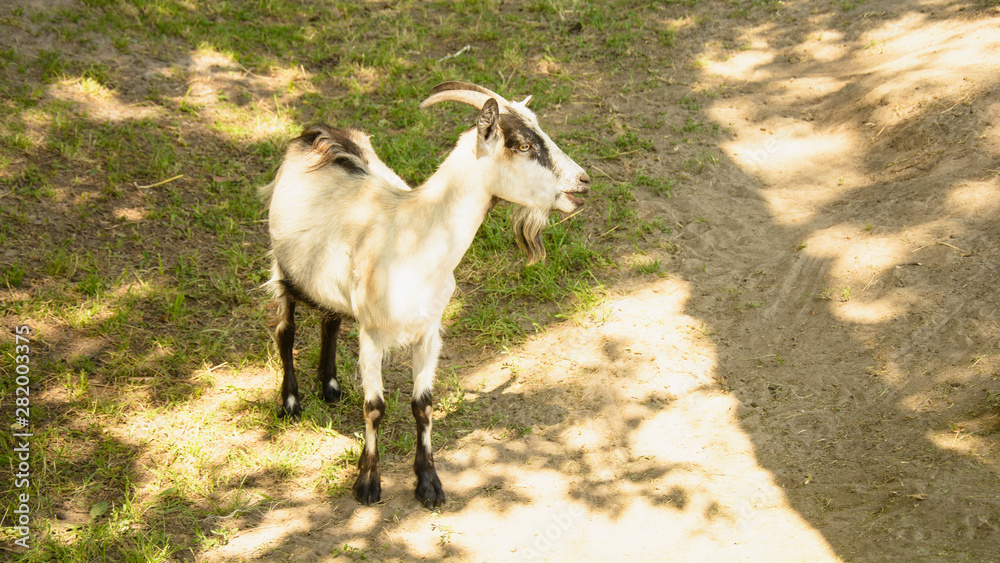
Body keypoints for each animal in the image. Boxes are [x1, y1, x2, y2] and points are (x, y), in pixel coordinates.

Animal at [260, 81, 590, 508]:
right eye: (522, 145)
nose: (583, 181)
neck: (413, 236)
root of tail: (316, 133)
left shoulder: (429, 331)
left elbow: (423, 406)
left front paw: (429, 483)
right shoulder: (372, 334)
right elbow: (375, 408)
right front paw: (367, 484)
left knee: (329, 319)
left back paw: (330, 388)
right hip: (283, 269)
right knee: (285, 332)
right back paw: (291, 404)